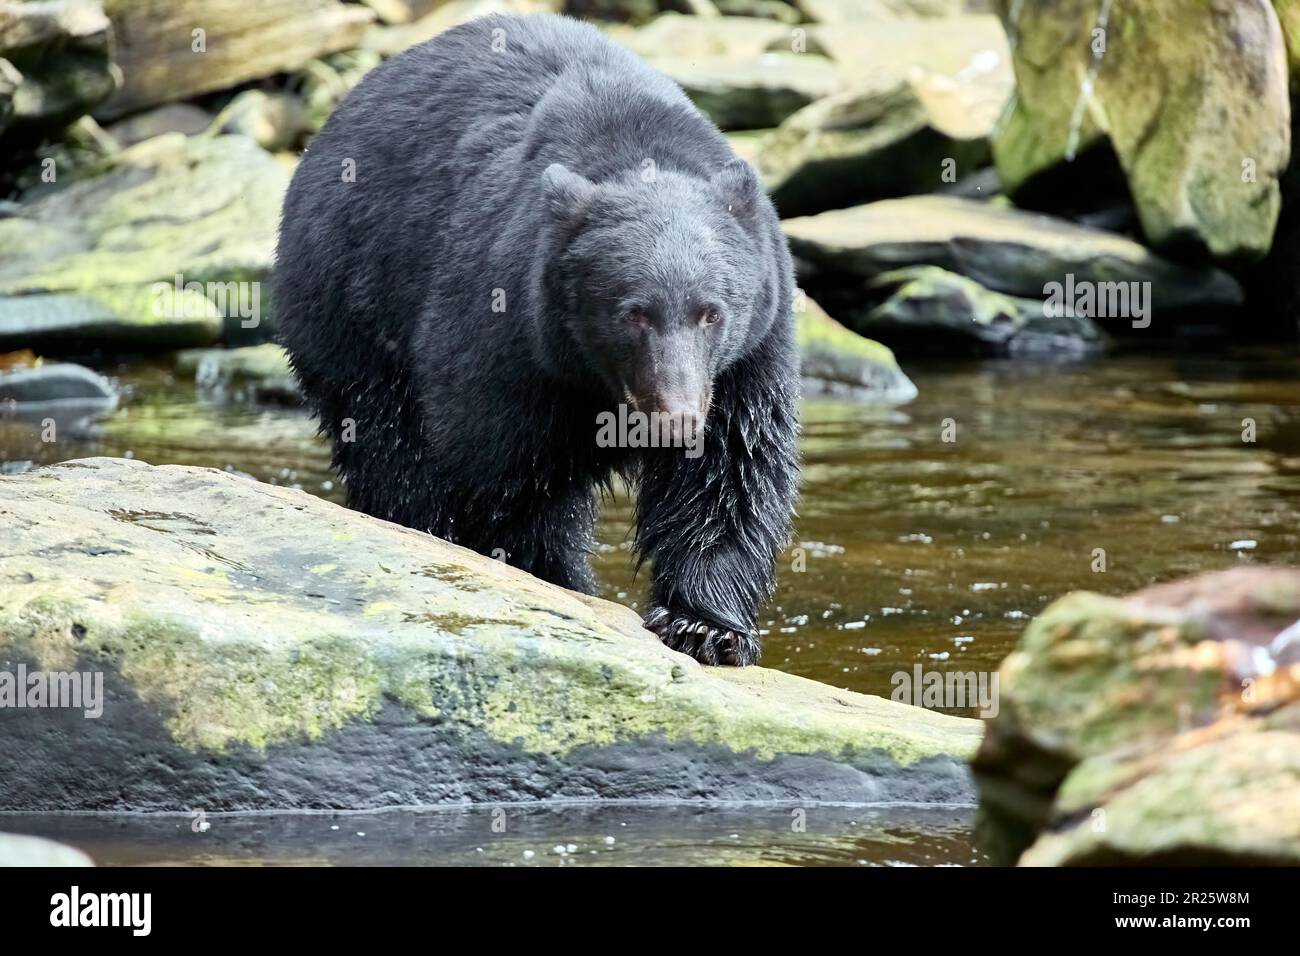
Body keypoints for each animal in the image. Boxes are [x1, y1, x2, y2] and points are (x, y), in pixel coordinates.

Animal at [274, 13, 801, 665]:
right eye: (633, 314)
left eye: (712, 314)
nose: (675, 419)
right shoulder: (507, 327)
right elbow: (500, 471)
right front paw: (549, 582)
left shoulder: (749, 353)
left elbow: (732, 468)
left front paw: (706, 627)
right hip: (350, 301)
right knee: (389, 442)